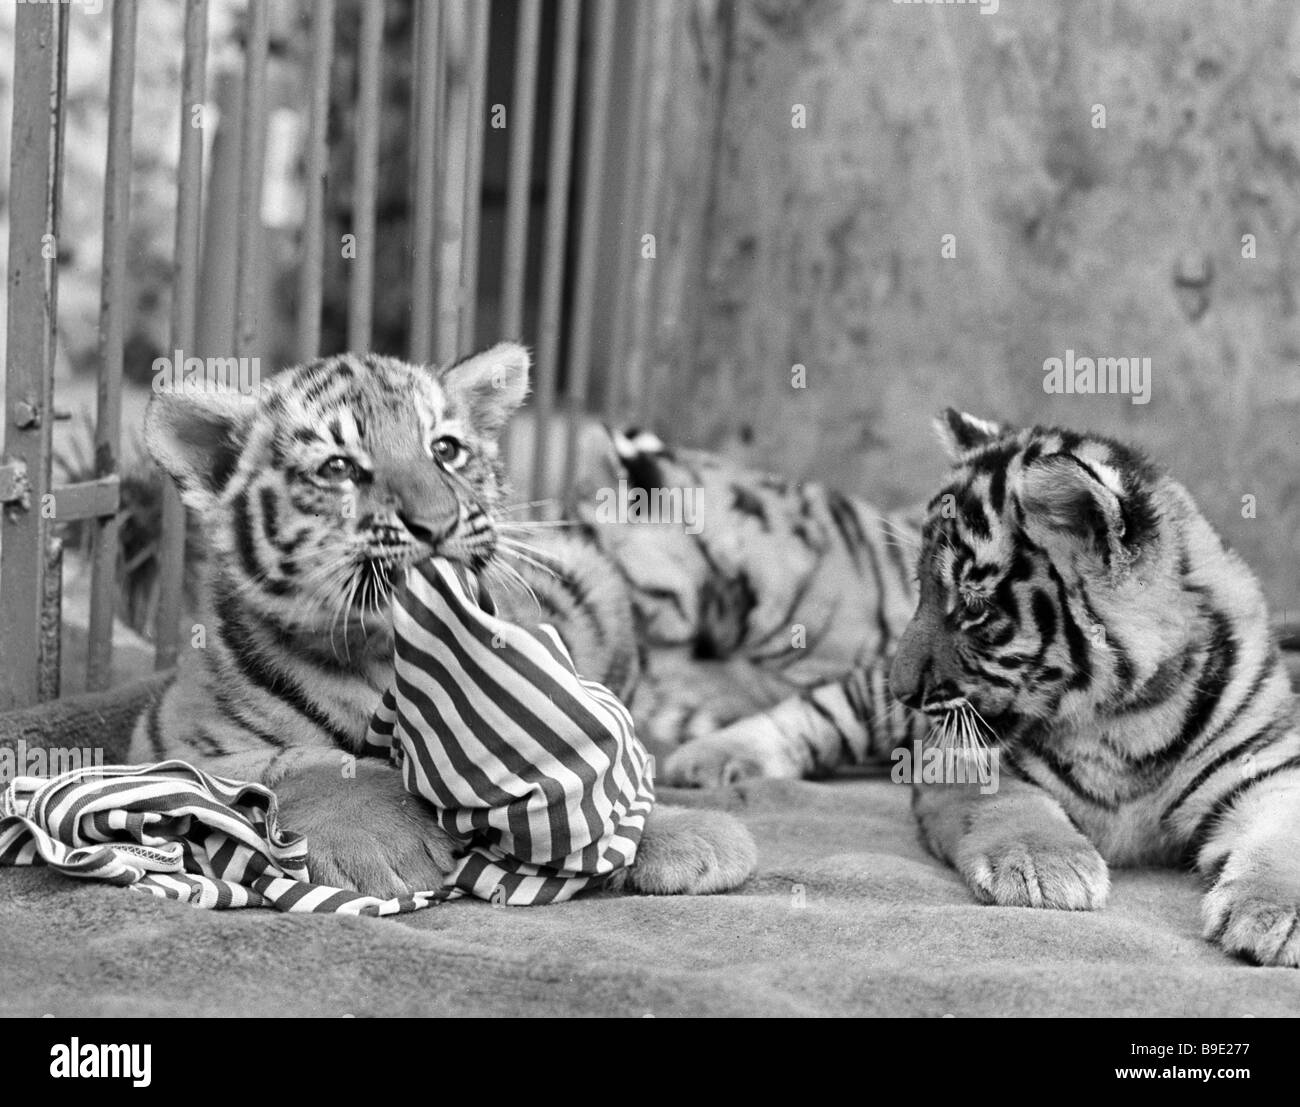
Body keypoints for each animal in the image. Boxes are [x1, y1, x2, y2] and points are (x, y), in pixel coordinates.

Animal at [129, 342, 756, 899]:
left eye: (446, 449)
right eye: (339, 467)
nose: (437, 521)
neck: (384, 652)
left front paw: (685, 831)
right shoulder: (169, 744)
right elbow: (293, 760)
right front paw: (382, 840)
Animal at [889, 408, 1300, 966]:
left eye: (974, 607)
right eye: (922, 590)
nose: (899, 692)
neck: (1129, 718)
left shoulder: (1270, 764)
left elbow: (1287, 833)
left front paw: (1278, 916)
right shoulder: (952, 758)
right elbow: (1006, 800)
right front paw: (1044, 866)